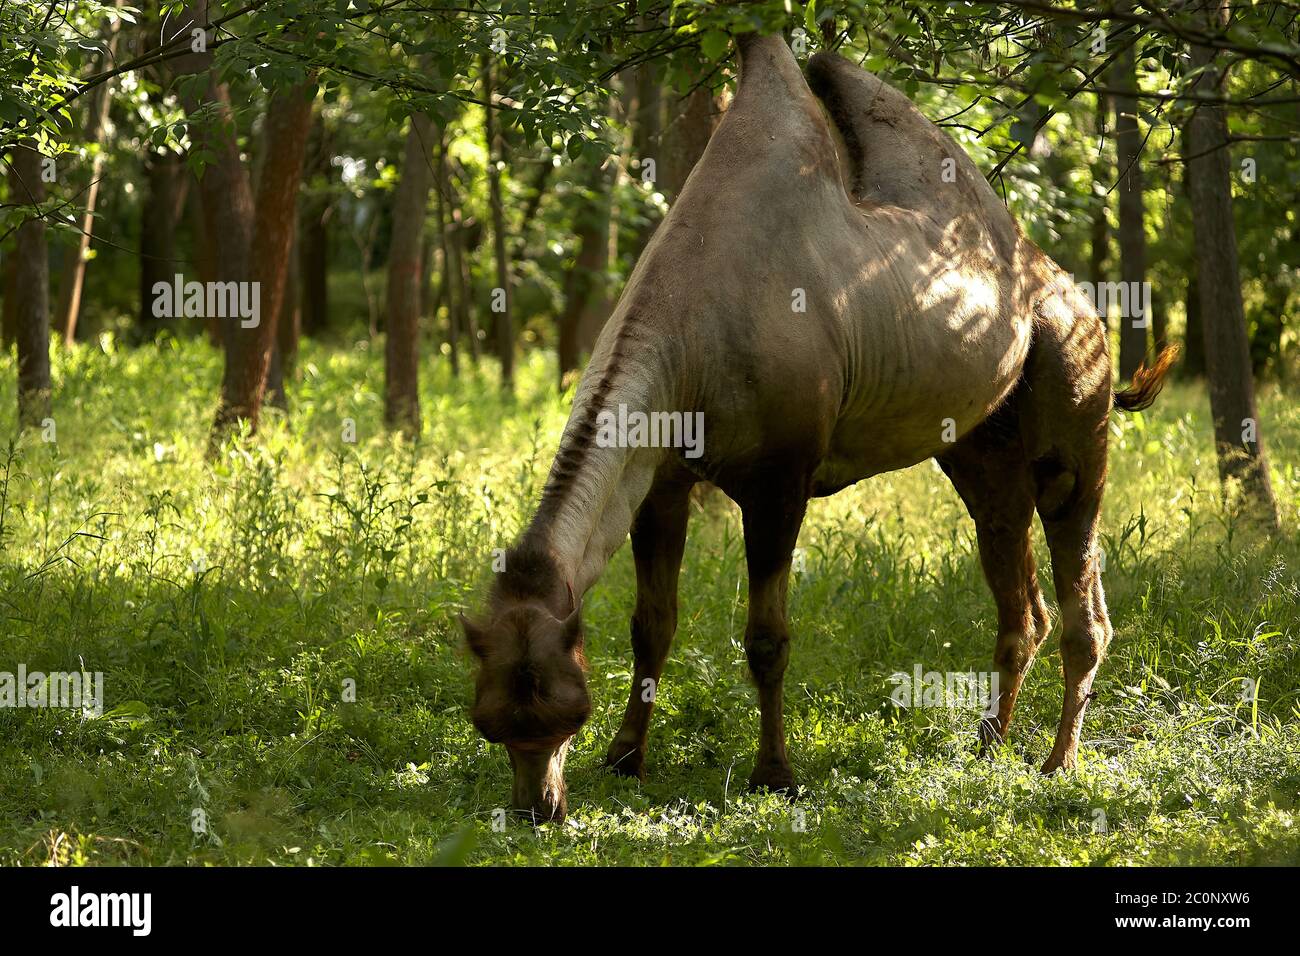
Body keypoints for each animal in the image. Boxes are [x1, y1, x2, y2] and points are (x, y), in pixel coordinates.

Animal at [462, 33, 1176, 822]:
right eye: (489, 720)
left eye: (566, 712)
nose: (535, 808)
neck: (687, 334)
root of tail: (1068, 287)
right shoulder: (662, 477)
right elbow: (651, 624)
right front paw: (625, 759)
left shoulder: (780, 481)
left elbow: (766, 638)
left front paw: (774, 773)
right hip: (982, 454)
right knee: (1020, 599)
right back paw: (989, 747)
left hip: (1075, 409)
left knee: (1081, 590)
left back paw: (1058, 763)